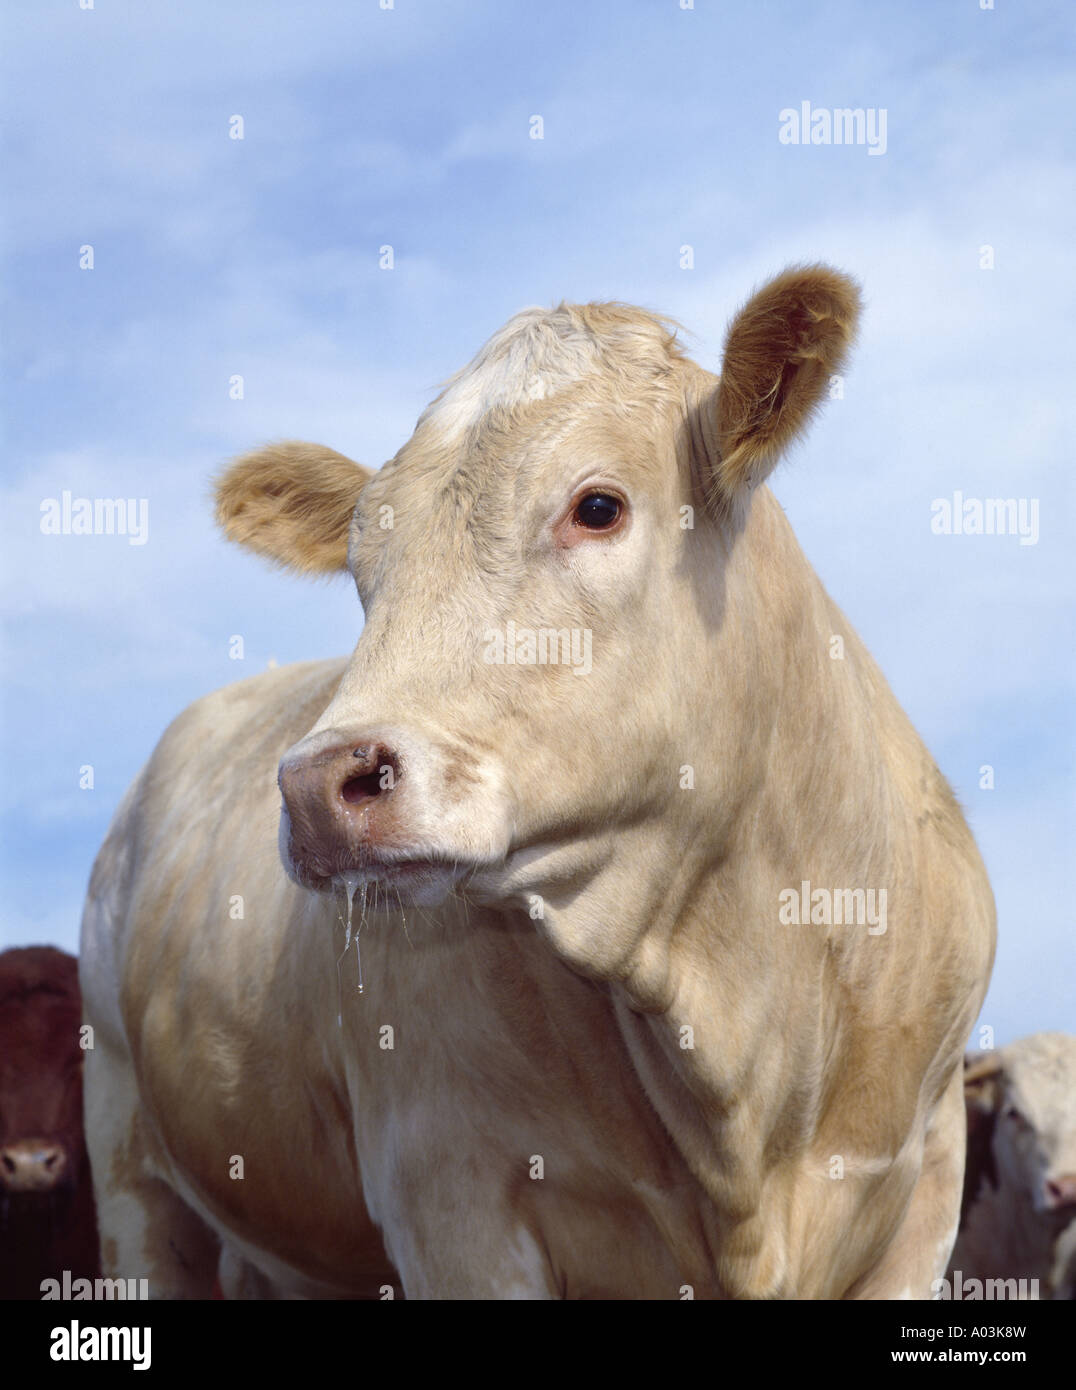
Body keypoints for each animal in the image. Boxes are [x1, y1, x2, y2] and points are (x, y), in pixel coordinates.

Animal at [80, 265, 996, 1299]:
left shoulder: (926, 1188)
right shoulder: (450, 1192)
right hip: (129, 1167)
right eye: (361, 565)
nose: (317, 785)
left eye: (597, 506)